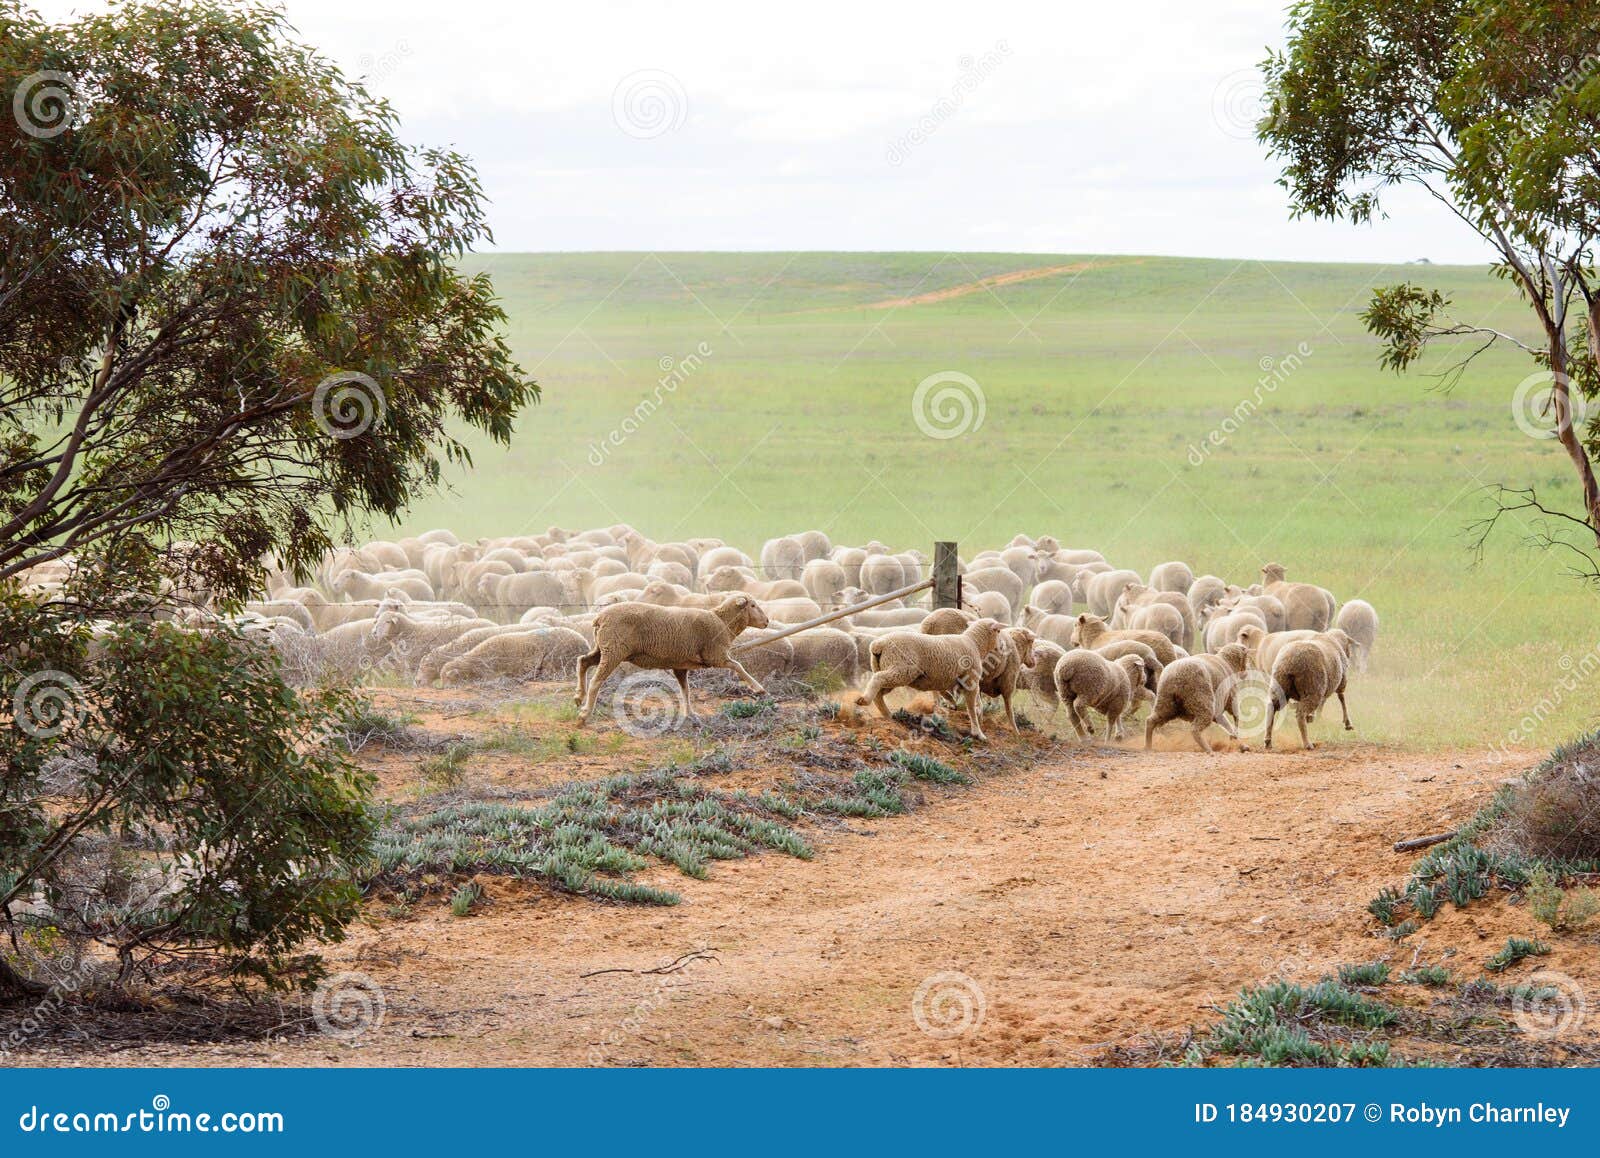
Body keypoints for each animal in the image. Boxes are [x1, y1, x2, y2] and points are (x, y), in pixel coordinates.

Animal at [575, 594, 771, 724]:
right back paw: (585, 713)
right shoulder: (715, 656)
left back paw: (578, 696)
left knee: (583, 661)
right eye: (753, 606)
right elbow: (738, 666)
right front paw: (759, 688)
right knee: (596, 680)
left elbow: (686, 690)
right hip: (614, 650)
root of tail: (600, 618)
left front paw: (690, 714)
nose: (767, 621)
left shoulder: (681, 666)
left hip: (603, 648)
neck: (723, 622)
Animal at [854, 618, 1006, 740]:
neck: (974, 644)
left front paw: (952, 704)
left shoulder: (947, 679)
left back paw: (887, 714)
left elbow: (951, 695)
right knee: (877, 679)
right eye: (998, 631)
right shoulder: (971, 680)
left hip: (889, 670)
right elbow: (971, 708)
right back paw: (865, 700)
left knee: (879, 692)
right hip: (902, 668)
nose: (1002, 646)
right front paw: (978, 733)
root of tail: (879, 644)